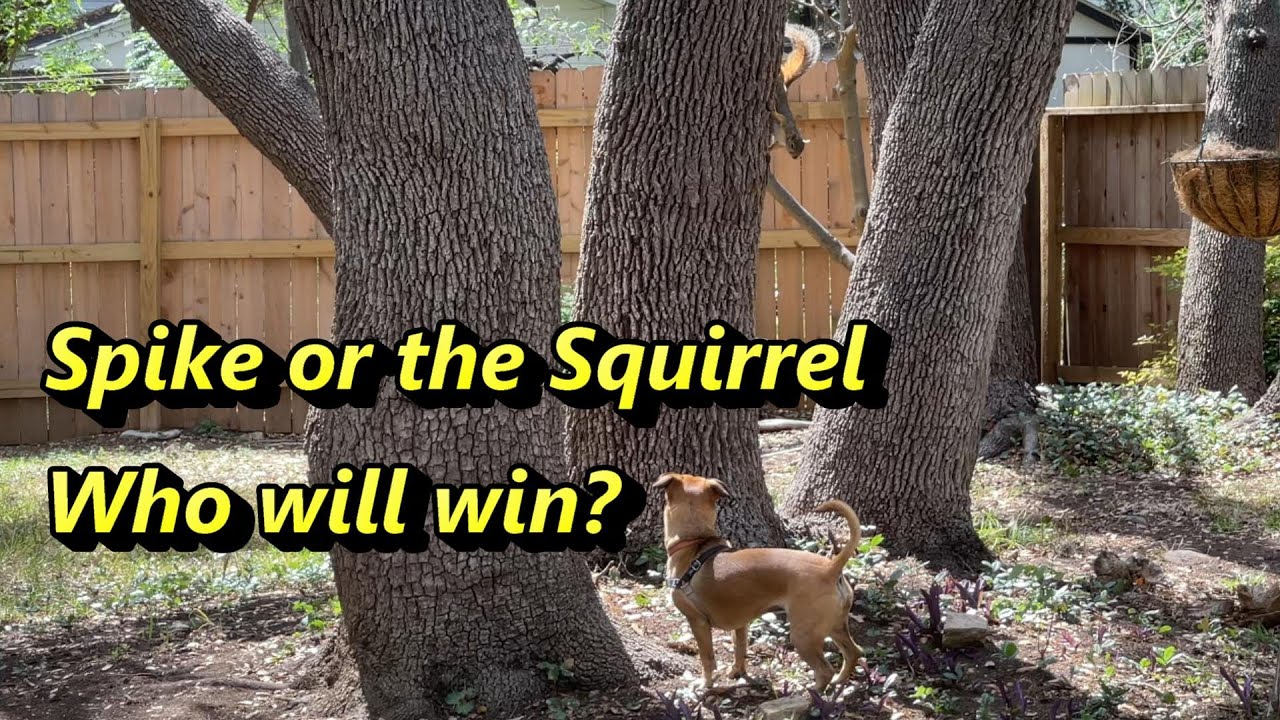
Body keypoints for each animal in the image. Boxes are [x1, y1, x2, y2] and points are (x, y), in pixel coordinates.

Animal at [772, 23, 821, 158]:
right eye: (793, 145)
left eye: (802, 149)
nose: (794, 158)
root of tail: (784, 86)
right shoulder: (785, 123)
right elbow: (780, 116)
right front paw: (772, 111)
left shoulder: (779, 144)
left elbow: (773, 147)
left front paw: (767, 151)